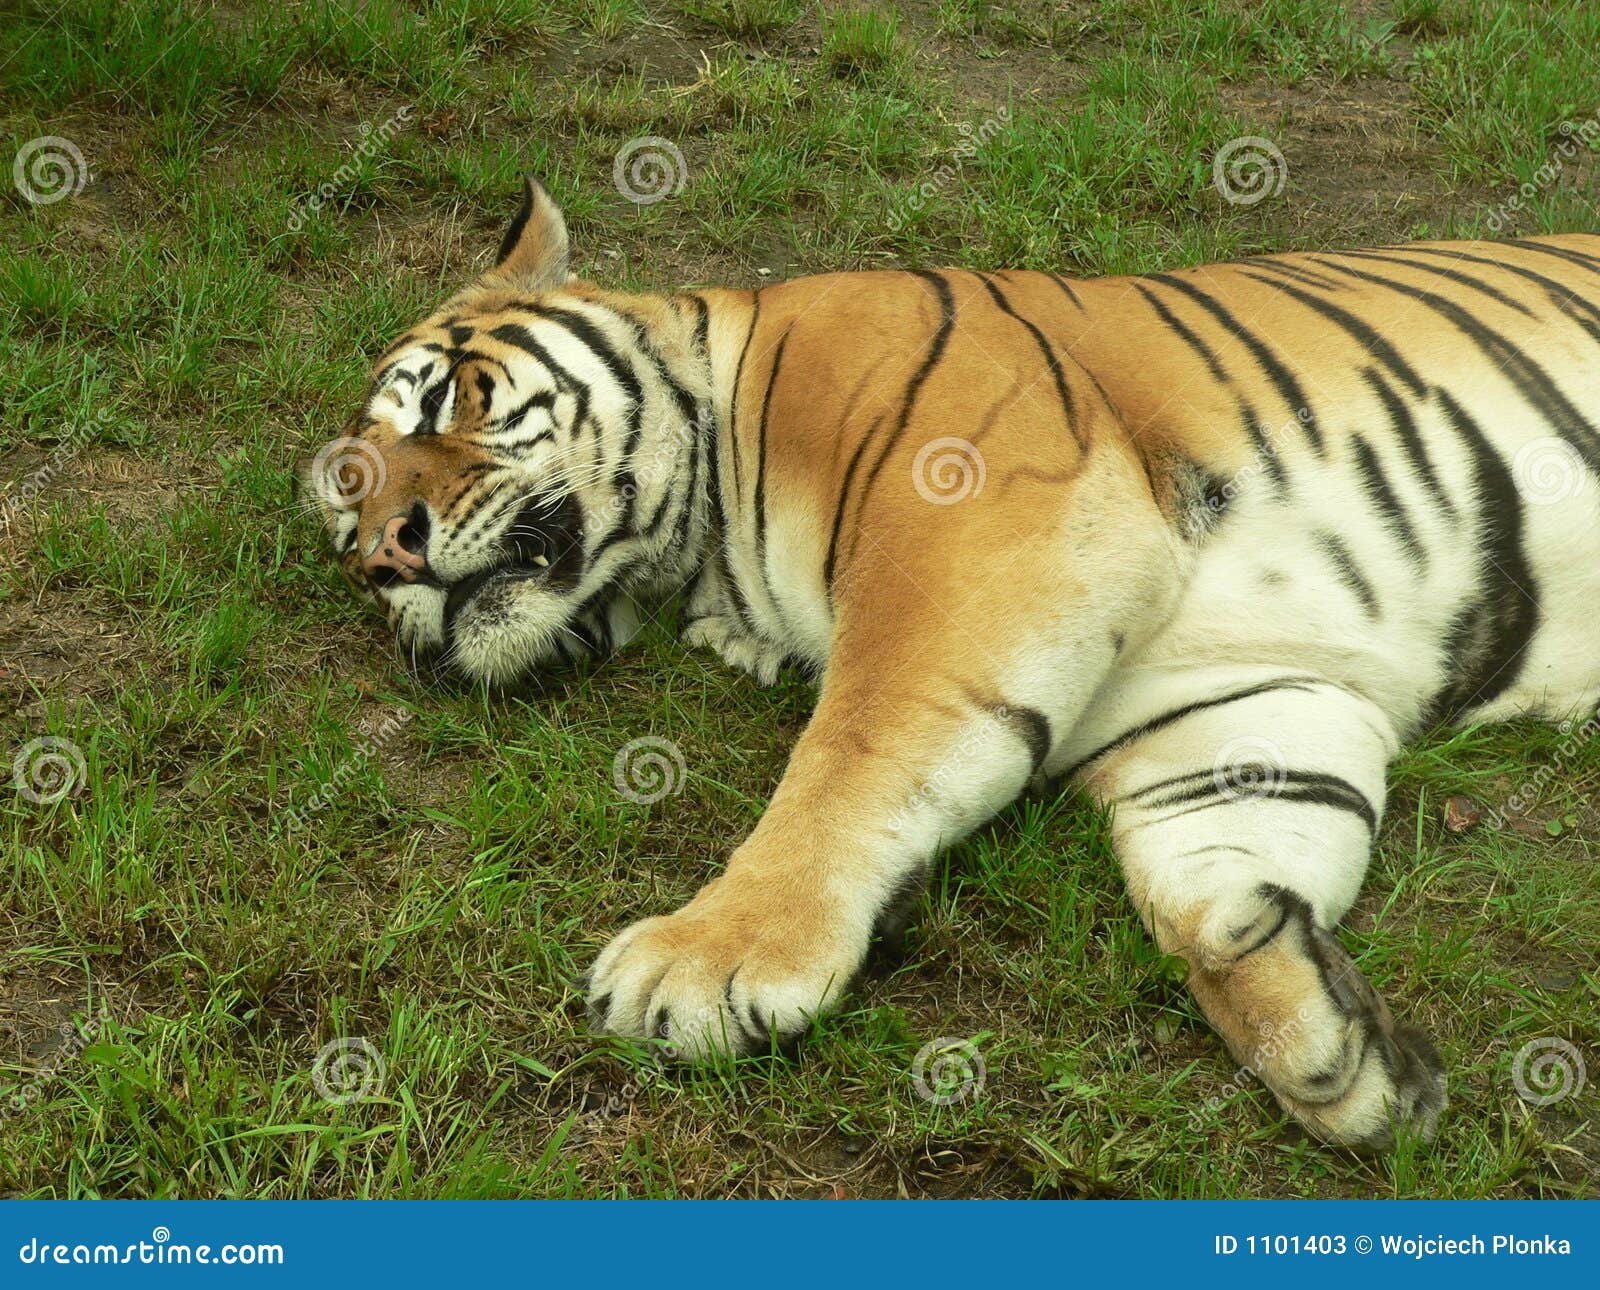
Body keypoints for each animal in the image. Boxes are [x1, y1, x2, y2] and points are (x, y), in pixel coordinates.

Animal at [306, 177, 1600, 1149]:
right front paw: (1330, 1041)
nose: (383, 558)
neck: (702, 550)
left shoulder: (984, 526)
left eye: (442, 404)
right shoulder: (1235, 703)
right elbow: (1213, 880)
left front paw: (706, 962)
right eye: (341, 515)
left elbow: (851, 757)